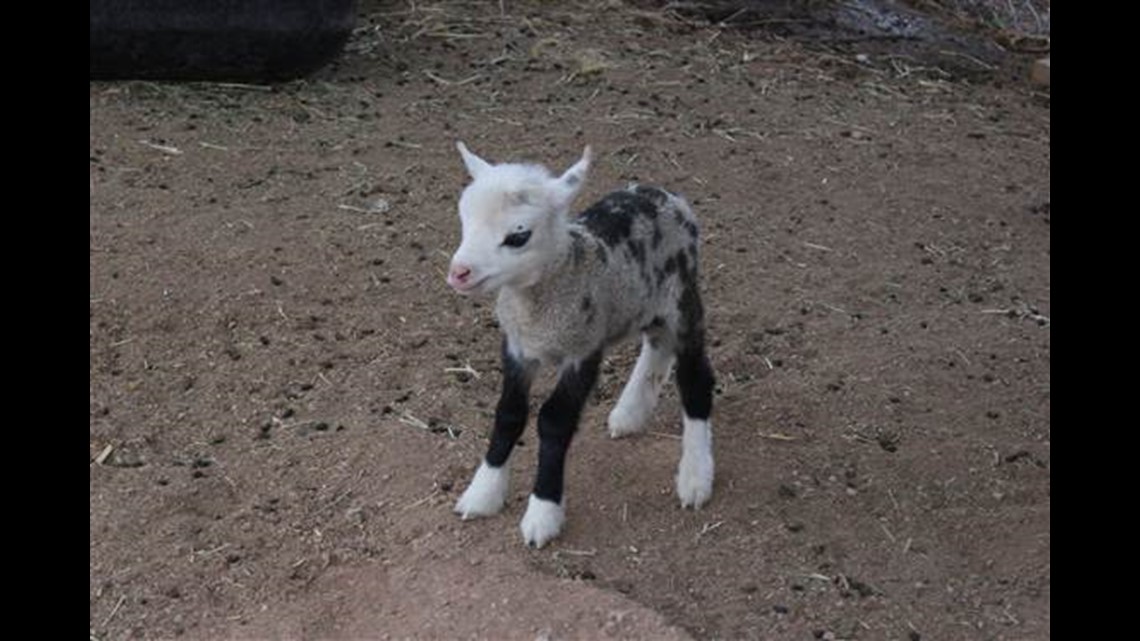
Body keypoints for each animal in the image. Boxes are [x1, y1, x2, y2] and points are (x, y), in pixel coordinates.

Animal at [446, 142, 716, 548]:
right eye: (465, 219)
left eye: (518, 235)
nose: (459, 273)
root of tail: (664, 194)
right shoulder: (517, 347)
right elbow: (508, 413)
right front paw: (483, 492)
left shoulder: (583, 348)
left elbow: (554, 421)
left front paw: (542, 512)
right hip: (642, 301)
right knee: (656, 345)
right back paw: (629, 413)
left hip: (682, 296)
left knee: (695, 377)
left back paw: (696, 475)